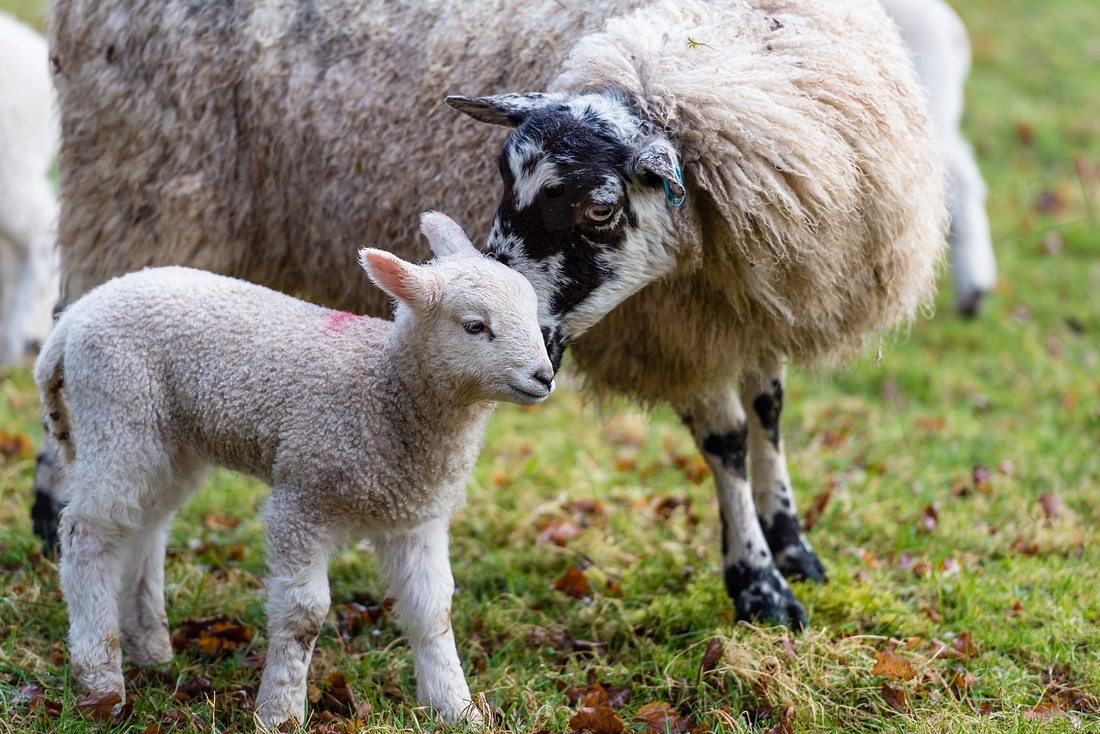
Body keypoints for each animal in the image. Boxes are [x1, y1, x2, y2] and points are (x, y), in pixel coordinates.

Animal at [34, 212, 554, 729]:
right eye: (475, 326)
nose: (545, 376)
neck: (383, 389)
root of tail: (74, 318)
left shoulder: (415, 516)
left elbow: (433, 611)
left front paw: (457, 709)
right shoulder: (303, 499)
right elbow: (304, 614)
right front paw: (280, 711)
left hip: (169, 442)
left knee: (144, 526)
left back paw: (151, 647)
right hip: (119, 412)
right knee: (89, 533)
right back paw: (101, 677)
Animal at [41, 0, 946, 625]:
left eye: (601, 210)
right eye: (500, 179)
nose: (528, 344)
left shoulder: (748, 303)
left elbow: (770, 411)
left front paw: (792, 543)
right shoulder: (677, 334)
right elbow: (724, 438)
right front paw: (757, 585)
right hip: (138, 187)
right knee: (70, 322)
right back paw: (53, 506)